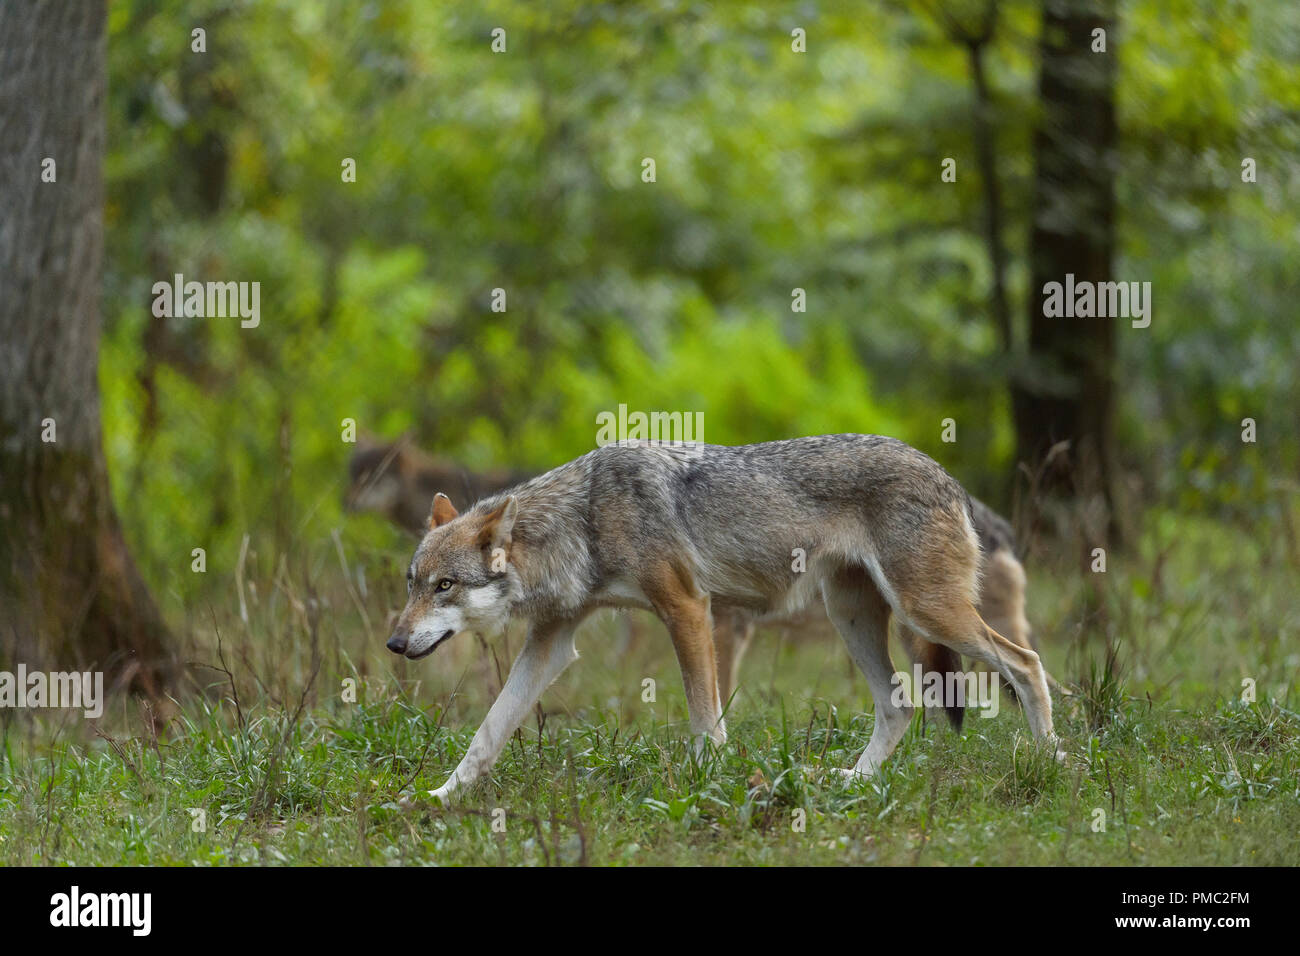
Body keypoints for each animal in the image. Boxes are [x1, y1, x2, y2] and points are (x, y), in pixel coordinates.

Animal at [385, 435, 1060, 801]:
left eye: (445, 587)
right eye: (413, 584)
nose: (394, 642)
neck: (583, 519)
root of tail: (952, 481)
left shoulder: (688, 608)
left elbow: (706, 722)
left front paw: (712, 783)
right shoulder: (553, 641)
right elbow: (487, 731)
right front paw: (439, 796)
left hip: (930, 615)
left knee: (1027, 663)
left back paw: (1051, 762)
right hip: (855, 617)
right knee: (898, 704)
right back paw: (851, 781)